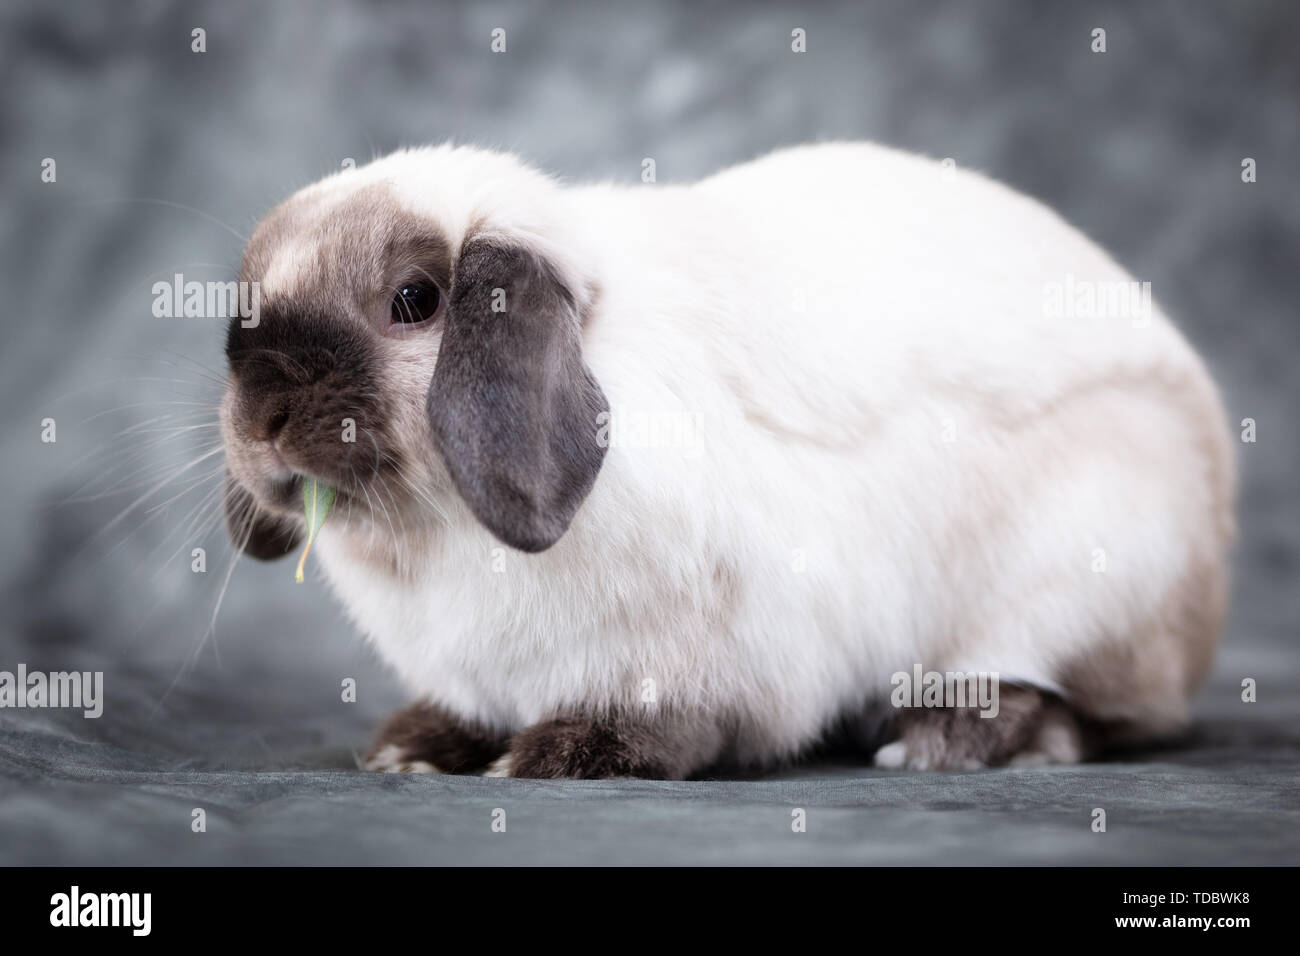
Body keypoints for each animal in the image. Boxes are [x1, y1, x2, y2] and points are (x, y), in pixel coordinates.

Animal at [219, 141, 1235, 778]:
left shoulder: (696, 654)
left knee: (1084, 712)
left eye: (414, 300)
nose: (264, 418)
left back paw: (948, 737)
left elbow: (667, 721)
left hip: (1079, 586)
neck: (433, 537)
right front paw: (415, 749)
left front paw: (562, 757)